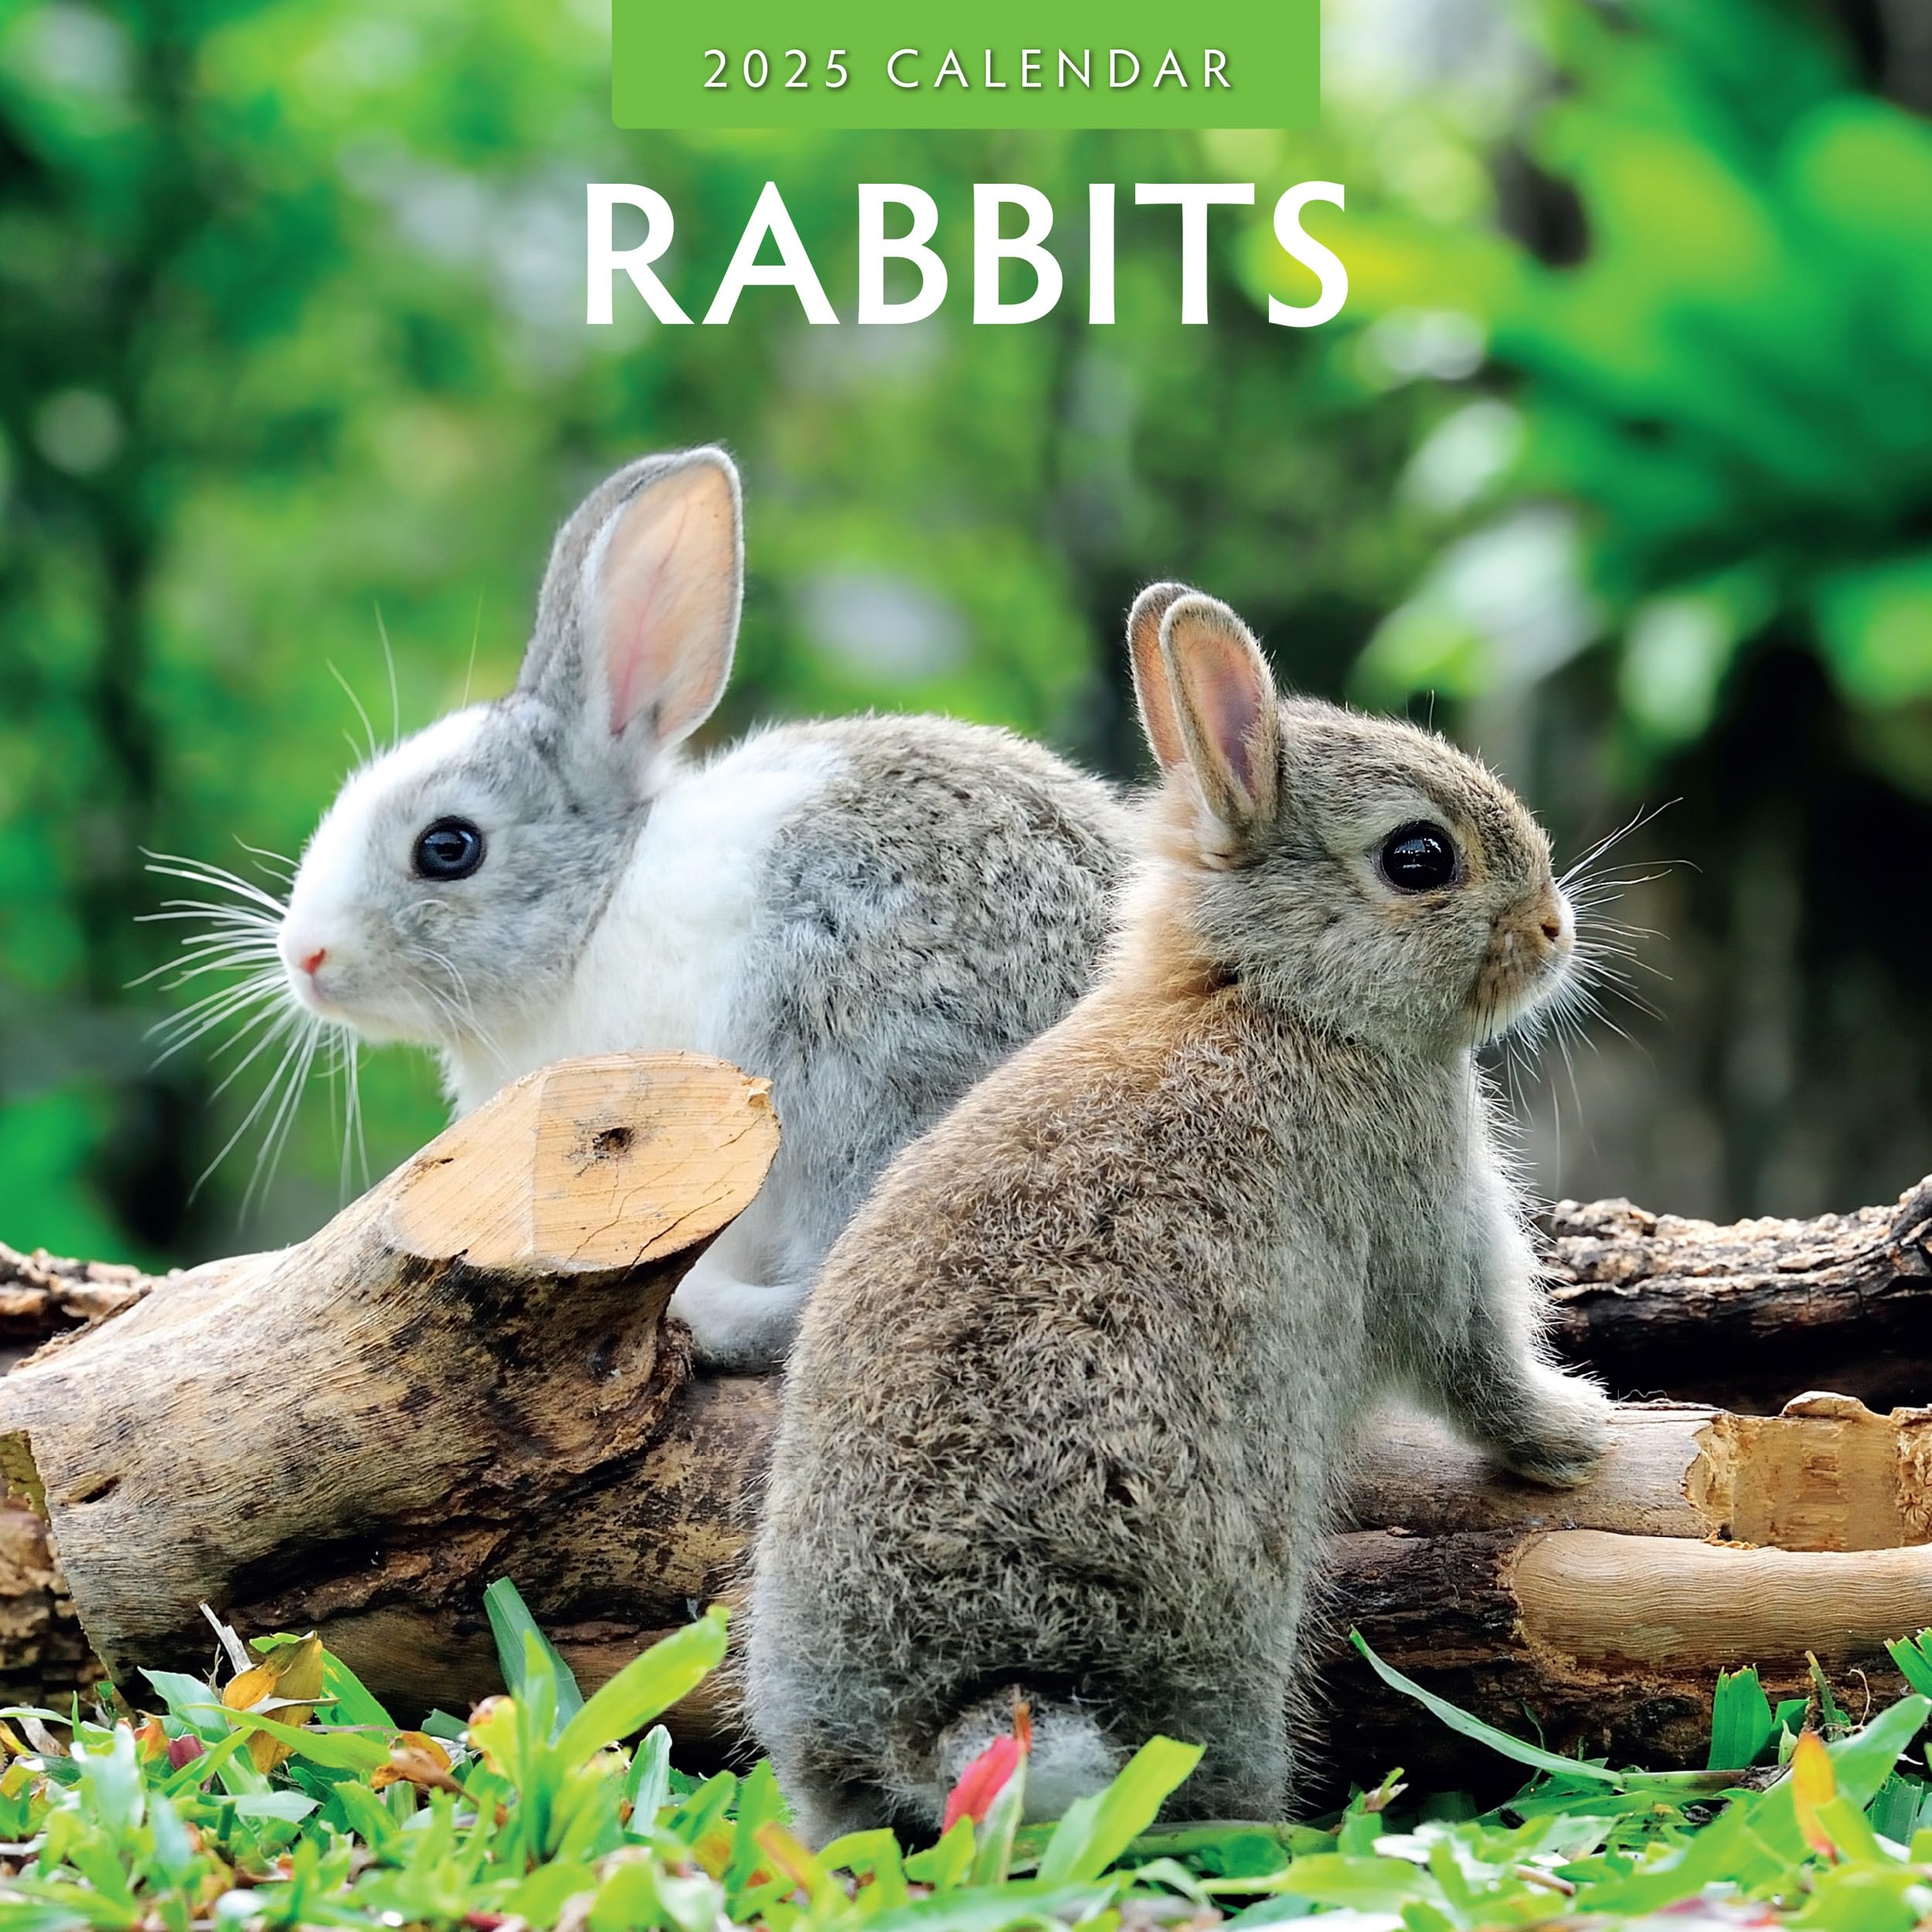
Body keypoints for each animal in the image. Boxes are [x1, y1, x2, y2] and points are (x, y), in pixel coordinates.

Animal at [744, 583, 1614, 1841]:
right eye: (1419, 858)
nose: (1554, 929)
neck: (1272, 995)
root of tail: (948, 1715)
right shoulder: (1424, 1214)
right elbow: (1476, 1364)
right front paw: (1576, 1434)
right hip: (1223, 1636)